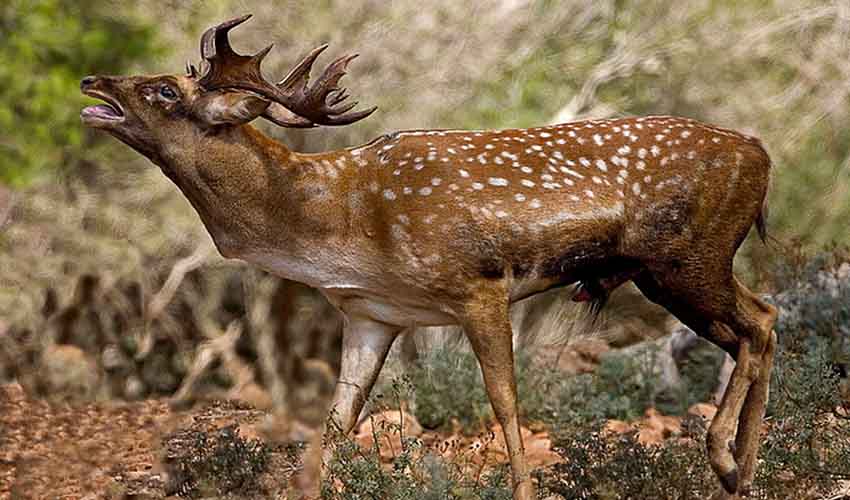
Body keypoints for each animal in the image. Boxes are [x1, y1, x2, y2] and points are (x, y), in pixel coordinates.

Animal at [80, 14, 777, 500]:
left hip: (686, 259)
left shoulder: (478, 284)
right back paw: (743, 469)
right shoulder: (372, 313)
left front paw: (523, 488)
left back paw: (725, 459)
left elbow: (504, 400)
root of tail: (762, 155)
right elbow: (336, 420)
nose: (92, 80)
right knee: (763, 320)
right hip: (681, 269)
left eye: (164, 91)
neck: (336, 224)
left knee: (759, 321)